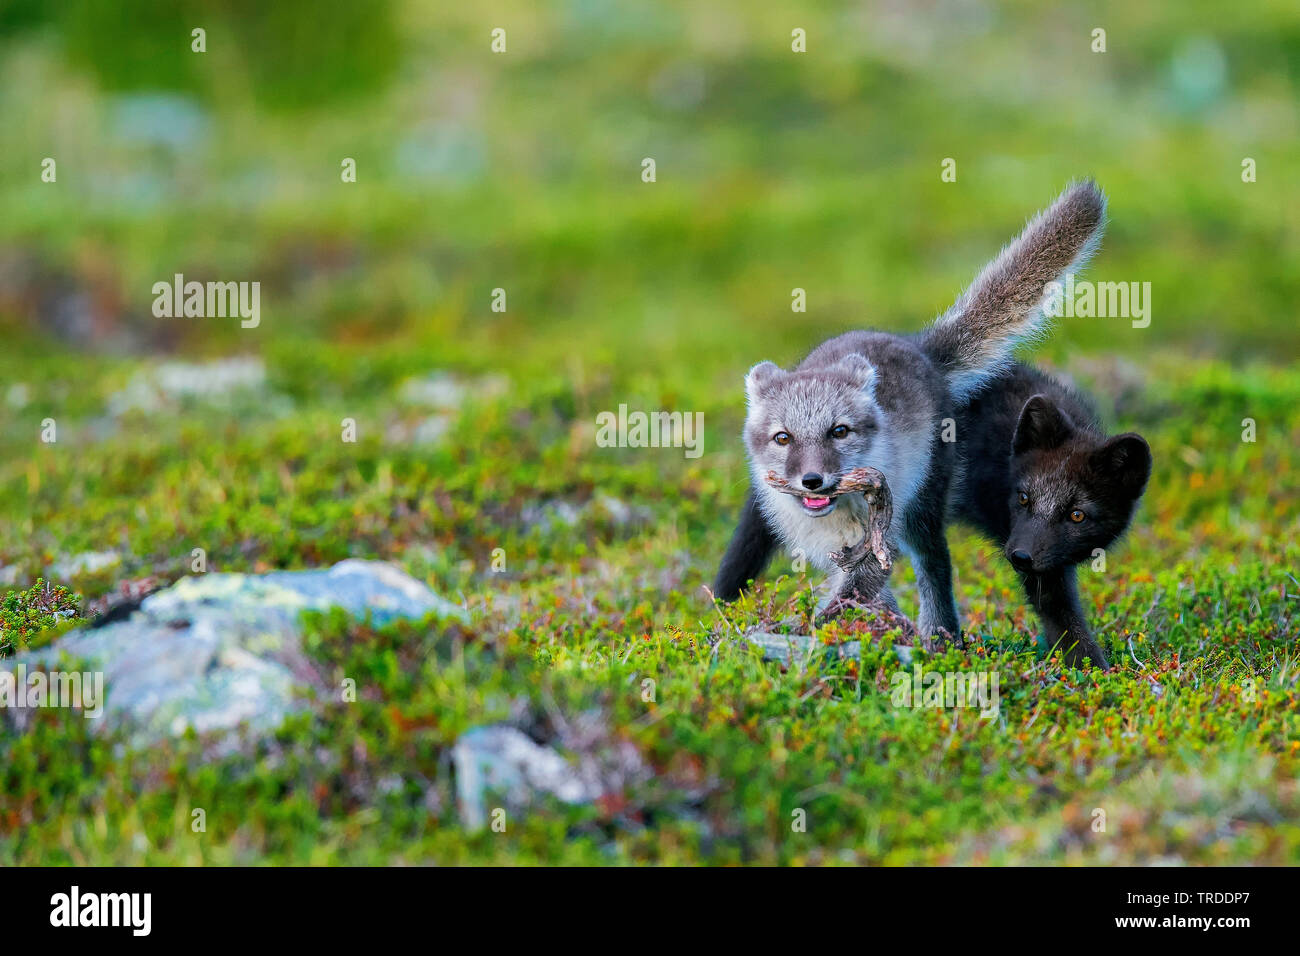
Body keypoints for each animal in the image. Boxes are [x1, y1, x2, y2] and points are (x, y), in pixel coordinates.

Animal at [713, 181, 1108, 642]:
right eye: (783, 437)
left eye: (839, 431)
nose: (813, 480)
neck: (834, 521)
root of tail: (918, 346)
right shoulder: (833, 550)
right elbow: (862, 593)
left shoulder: (879, 539)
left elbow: (850, 595)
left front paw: (820, 630)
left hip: (924, 503)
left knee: (935, 565)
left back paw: (941, 637)